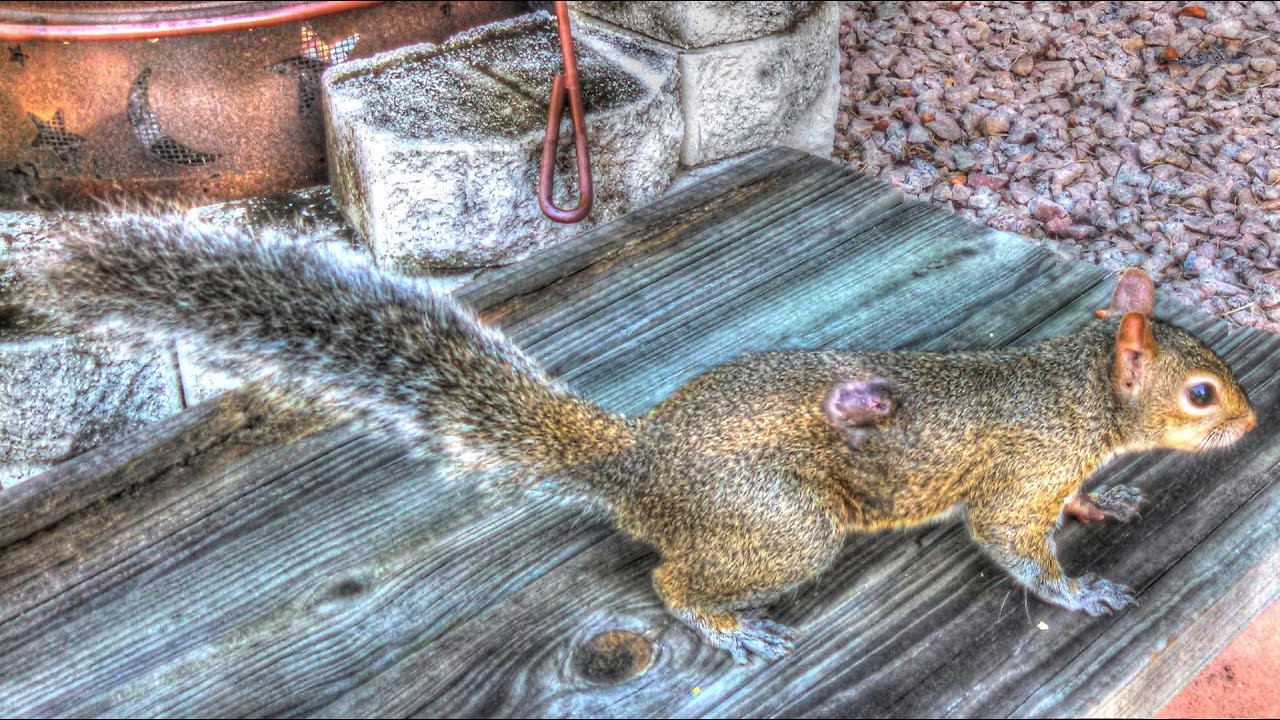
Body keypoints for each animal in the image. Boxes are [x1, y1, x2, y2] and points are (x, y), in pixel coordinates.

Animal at [24, 214, 1258, 665]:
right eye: (1202, 392)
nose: (1250, 425)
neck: (1073, 396)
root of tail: (633, 466)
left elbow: (1073, 506)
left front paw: (1109, 503)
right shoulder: (1014, 478)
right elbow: (1014, 546)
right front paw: (1080, 590)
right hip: (781, 528)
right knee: (670, 579)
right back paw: (726, 626)